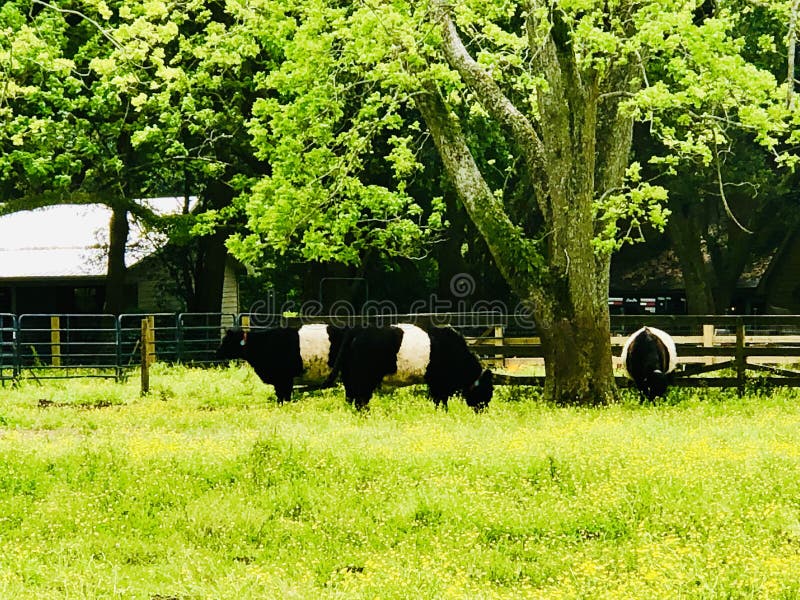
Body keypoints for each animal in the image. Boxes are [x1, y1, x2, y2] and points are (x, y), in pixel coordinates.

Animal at [332, 323, 493, 411]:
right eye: (488, 390)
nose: (484, 410)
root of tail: (359, 330)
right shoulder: (439, 383)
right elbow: (441, 401)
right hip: (364, 376)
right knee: (361, 399)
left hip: (349, 376)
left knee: (351, 398)